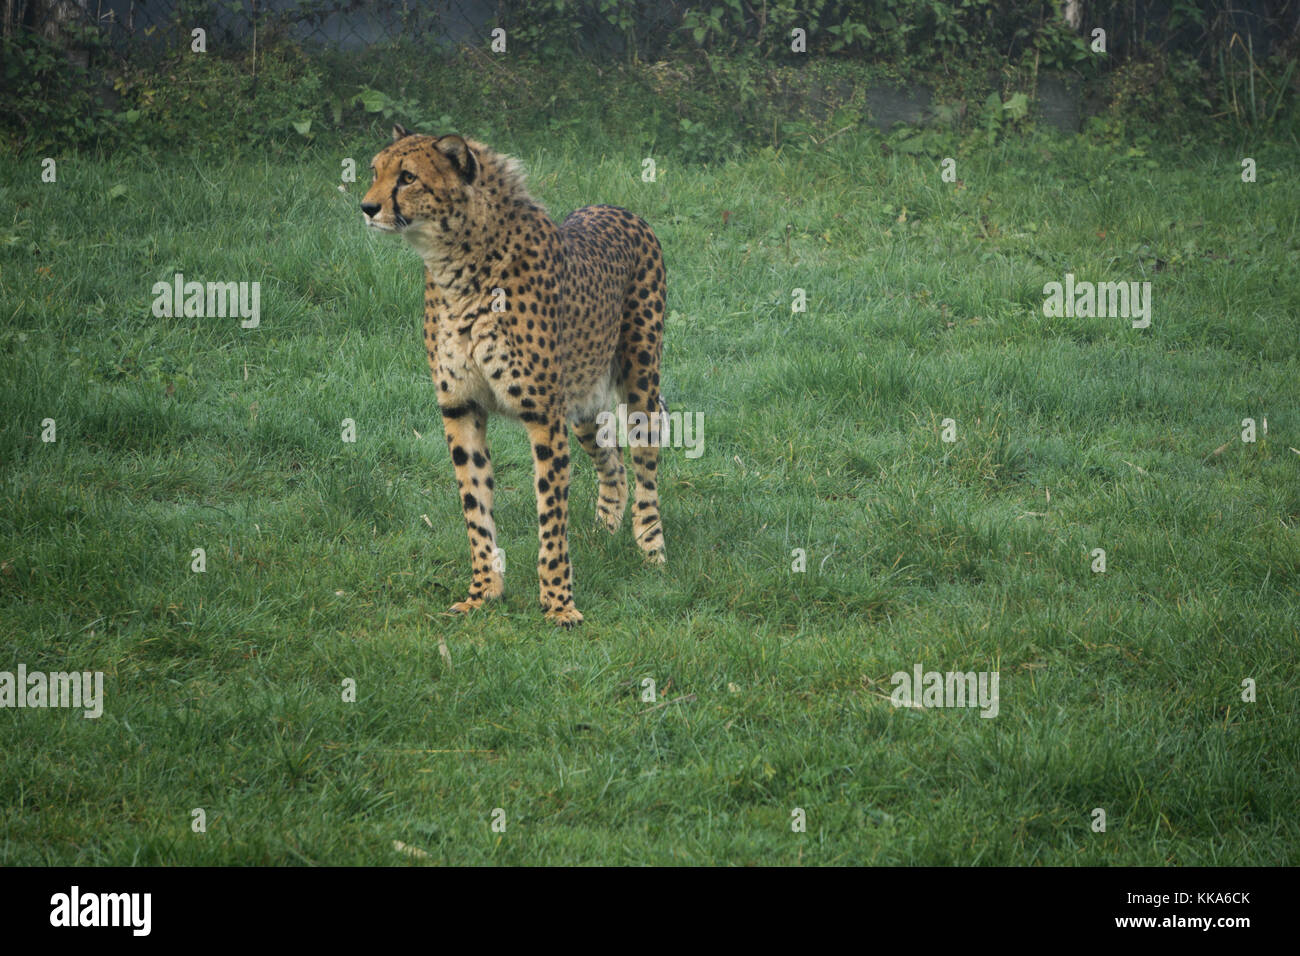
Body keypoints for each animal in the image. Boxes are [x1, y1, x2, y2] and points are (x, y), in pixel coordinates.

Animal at [360, 126, 667, 627]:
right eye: (374, 172)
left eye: (407, 177)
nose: (367, 207)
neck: (456, 262)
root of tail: (615, 207)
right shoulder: (461, 407)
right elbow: (475, 506)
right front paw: (483, 592)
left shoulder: (543, 414)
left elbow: (551, 514)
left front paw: (559, 604)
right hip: (581, 401)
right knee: (613, 460)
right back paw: (606, 526)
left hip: (640, 382)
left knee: (645, 469)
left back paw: (651, 547)